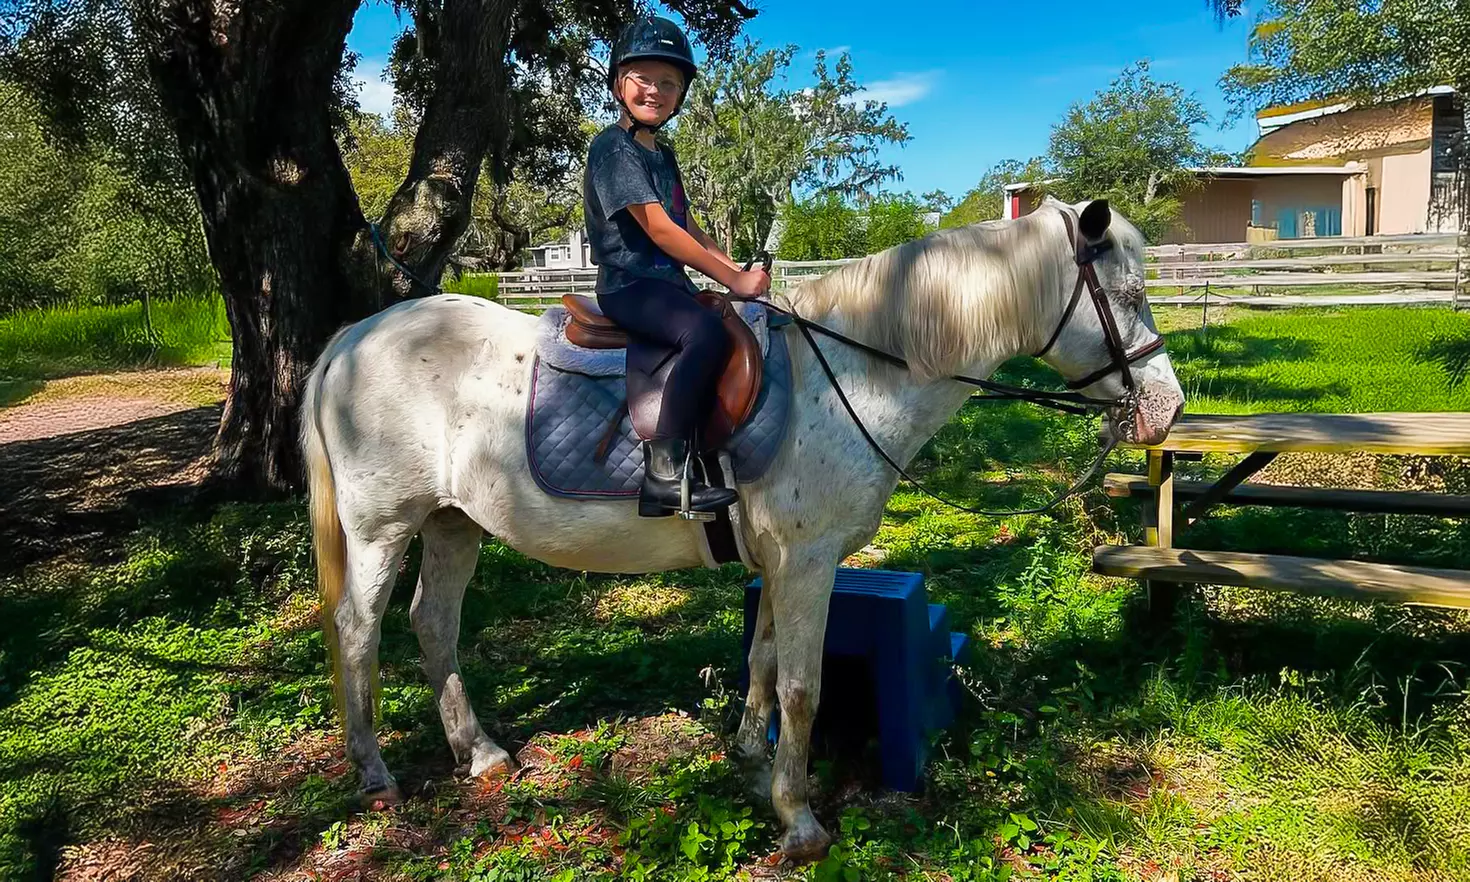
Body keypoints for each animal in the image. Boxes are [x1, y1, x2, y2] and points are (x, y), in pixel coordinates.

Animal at [301, 197, 1185, 861]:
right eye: (1127, 298)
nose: (1168, 409)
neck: (859, 370)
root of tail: (352, 337)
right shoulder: (808, 559)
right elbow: (802, 686)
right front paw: (799, 819)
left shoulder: (777, 561)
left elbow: (760, 662)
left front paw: (752, 758)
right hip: (383, 529)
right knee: (359, 631)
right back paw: (374, 773)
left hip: (453, 523)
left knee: (433, 623)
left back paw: (478, 753)